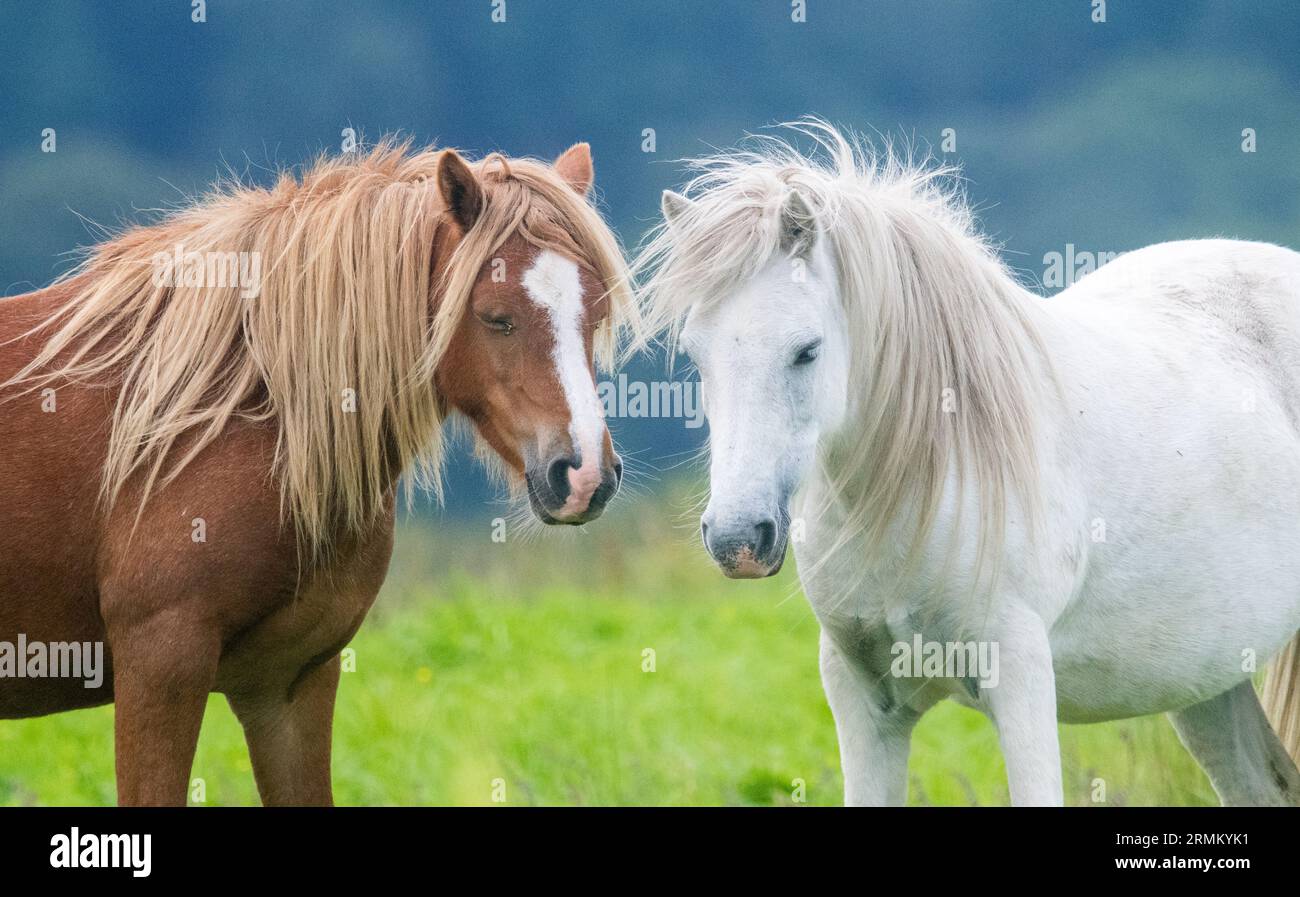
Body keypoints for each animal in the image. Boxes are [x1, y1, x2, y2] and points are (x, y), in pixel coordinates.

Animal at [0, 139, 631, 805]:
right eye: (495, 317)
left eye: (596, 314)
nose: (585, 474)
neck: (228, 419)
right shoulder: (160, 664)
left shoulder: (291, 682)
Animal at [634, 119, 1300, 806]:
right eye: (696, 353)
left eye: (807, 350)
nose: (738, 539)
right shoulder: (861, 699)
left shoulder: (1023, 679)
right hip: (1206, 679)